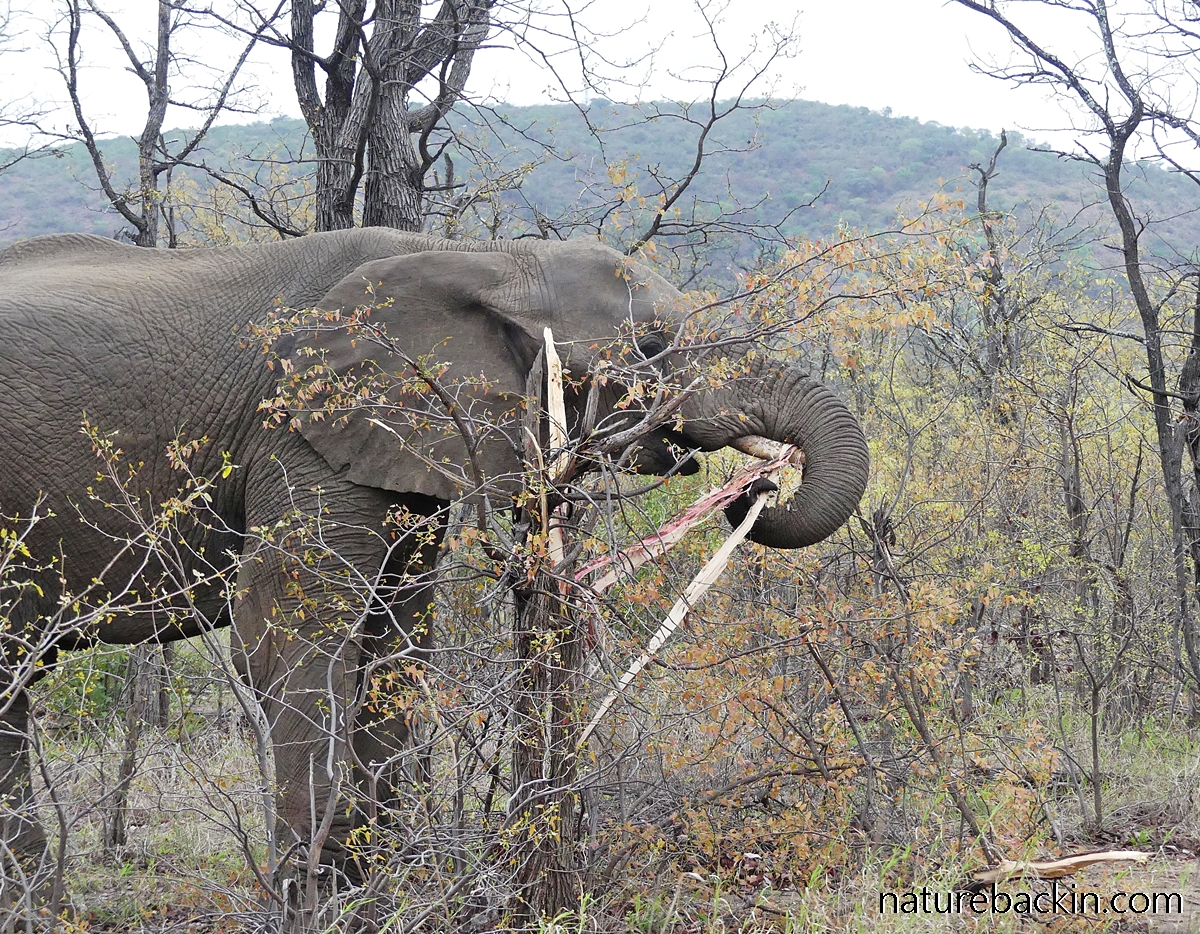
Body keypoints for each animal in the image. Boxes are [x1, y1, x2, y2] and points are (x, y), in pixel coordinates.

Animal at [0, 228, 868, 880]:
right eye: (652, 344)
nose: (753, 490)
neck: (479, 257)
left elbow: (398, 642)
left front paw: (376, 892)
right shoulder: (303, 425)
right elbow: (293, 631)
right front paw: (314, 901)